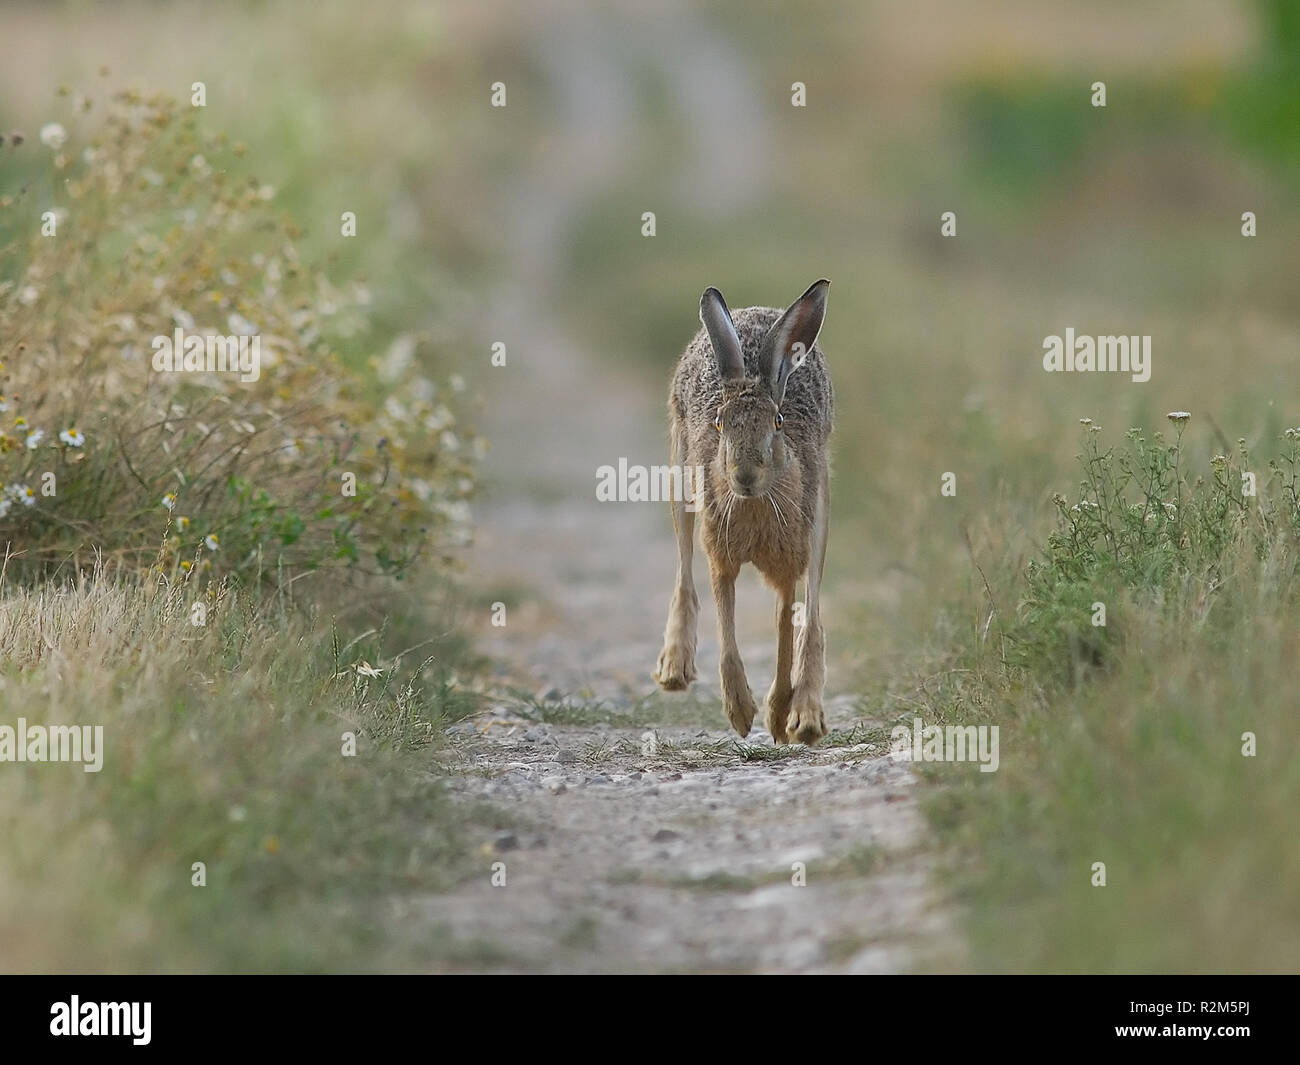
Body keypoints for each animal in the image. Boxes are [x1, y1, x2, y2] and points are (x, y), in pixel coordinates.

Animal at [653, 279, 833, 745]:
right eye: (719, 422)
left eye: (779, 421)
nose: (744, 476)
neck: (754, 505)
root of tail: (754, 310)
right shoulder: (720, 557)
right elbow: (726, 626)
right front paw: (739, 713)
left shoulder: (790, 564)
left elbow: (785, 627)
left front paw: (778, 715)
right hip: (680, 479)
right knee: (683, 571)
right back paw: (674, 668)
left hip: (820, 510)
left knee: (812, 616)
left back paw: (806, 718)